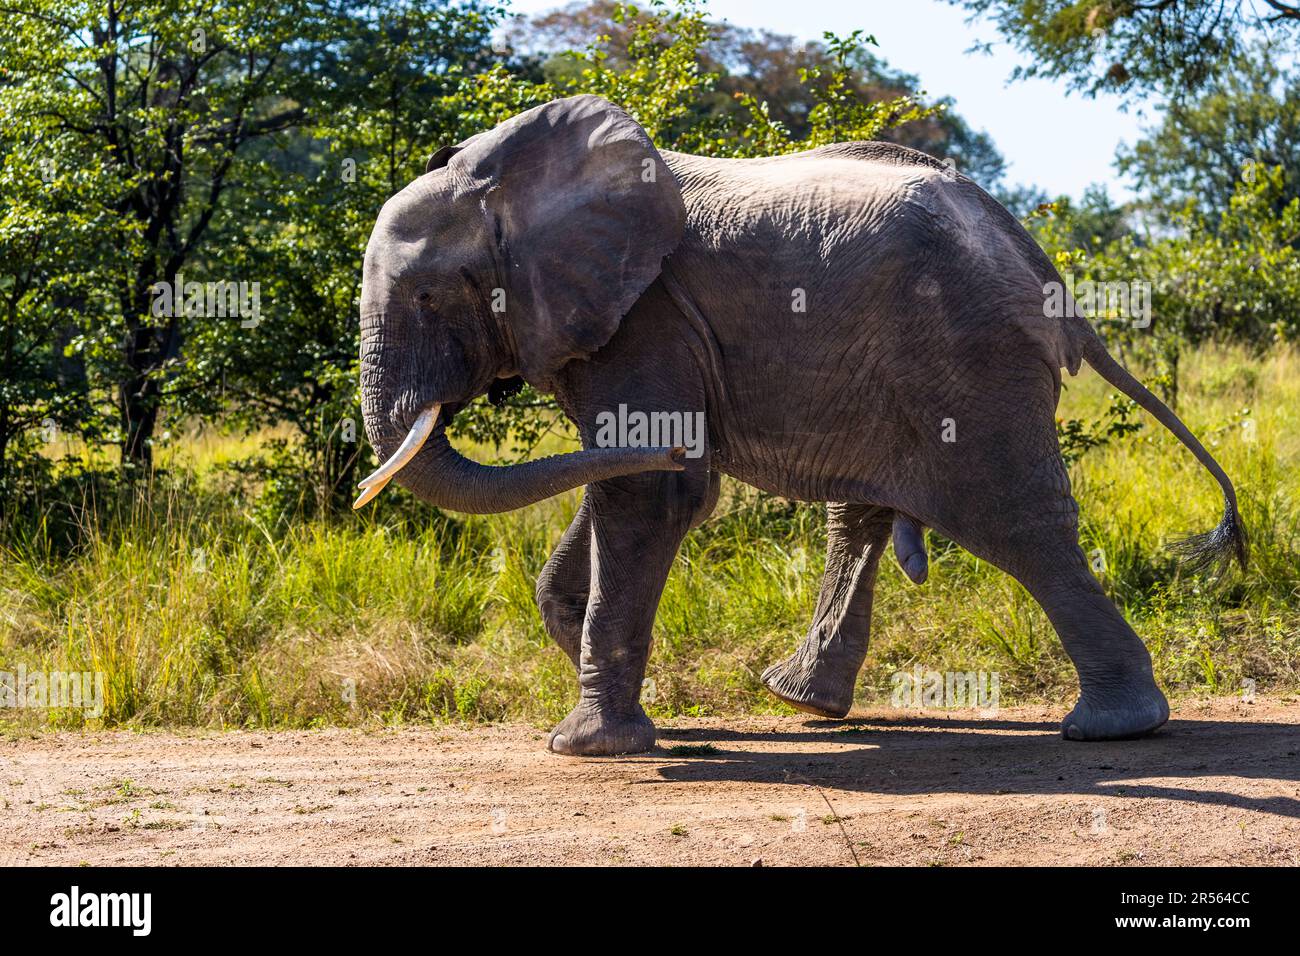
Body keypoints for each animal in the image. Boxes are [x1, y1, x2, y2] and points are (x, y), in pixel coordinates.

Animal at [354, 94, 1247, 756]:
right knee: (863, 513)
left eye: (428, 297)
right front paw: (599, 666)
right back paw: (804, 701)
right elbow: (627, 477)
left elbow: (648, 490)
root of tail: (1038, 261)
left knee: (1015, 522)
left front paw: (586, 744)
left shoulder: (647, 317)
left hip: (969, 356)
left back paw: (1114, 728)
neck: (505, 184)